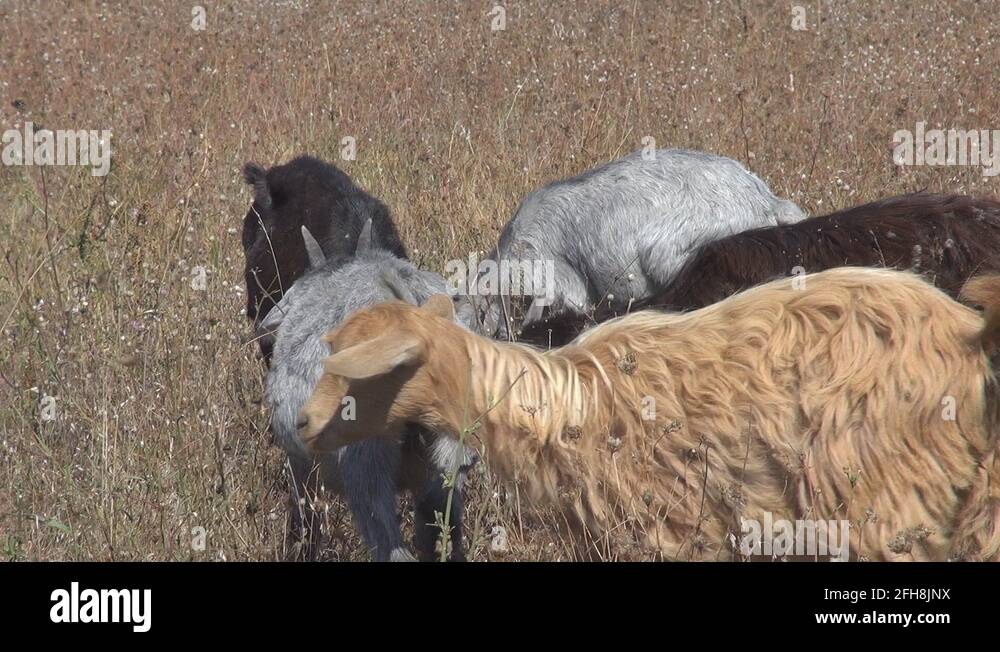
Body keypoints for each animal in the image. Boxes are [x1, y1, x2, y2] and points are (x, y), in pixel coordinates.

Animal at [299, 267, 1000, 561]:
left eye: (363, 371)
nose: (303, 424)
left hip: (889, 505)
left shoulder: (672, 532)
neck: (567, 404)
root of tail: (969, 333)